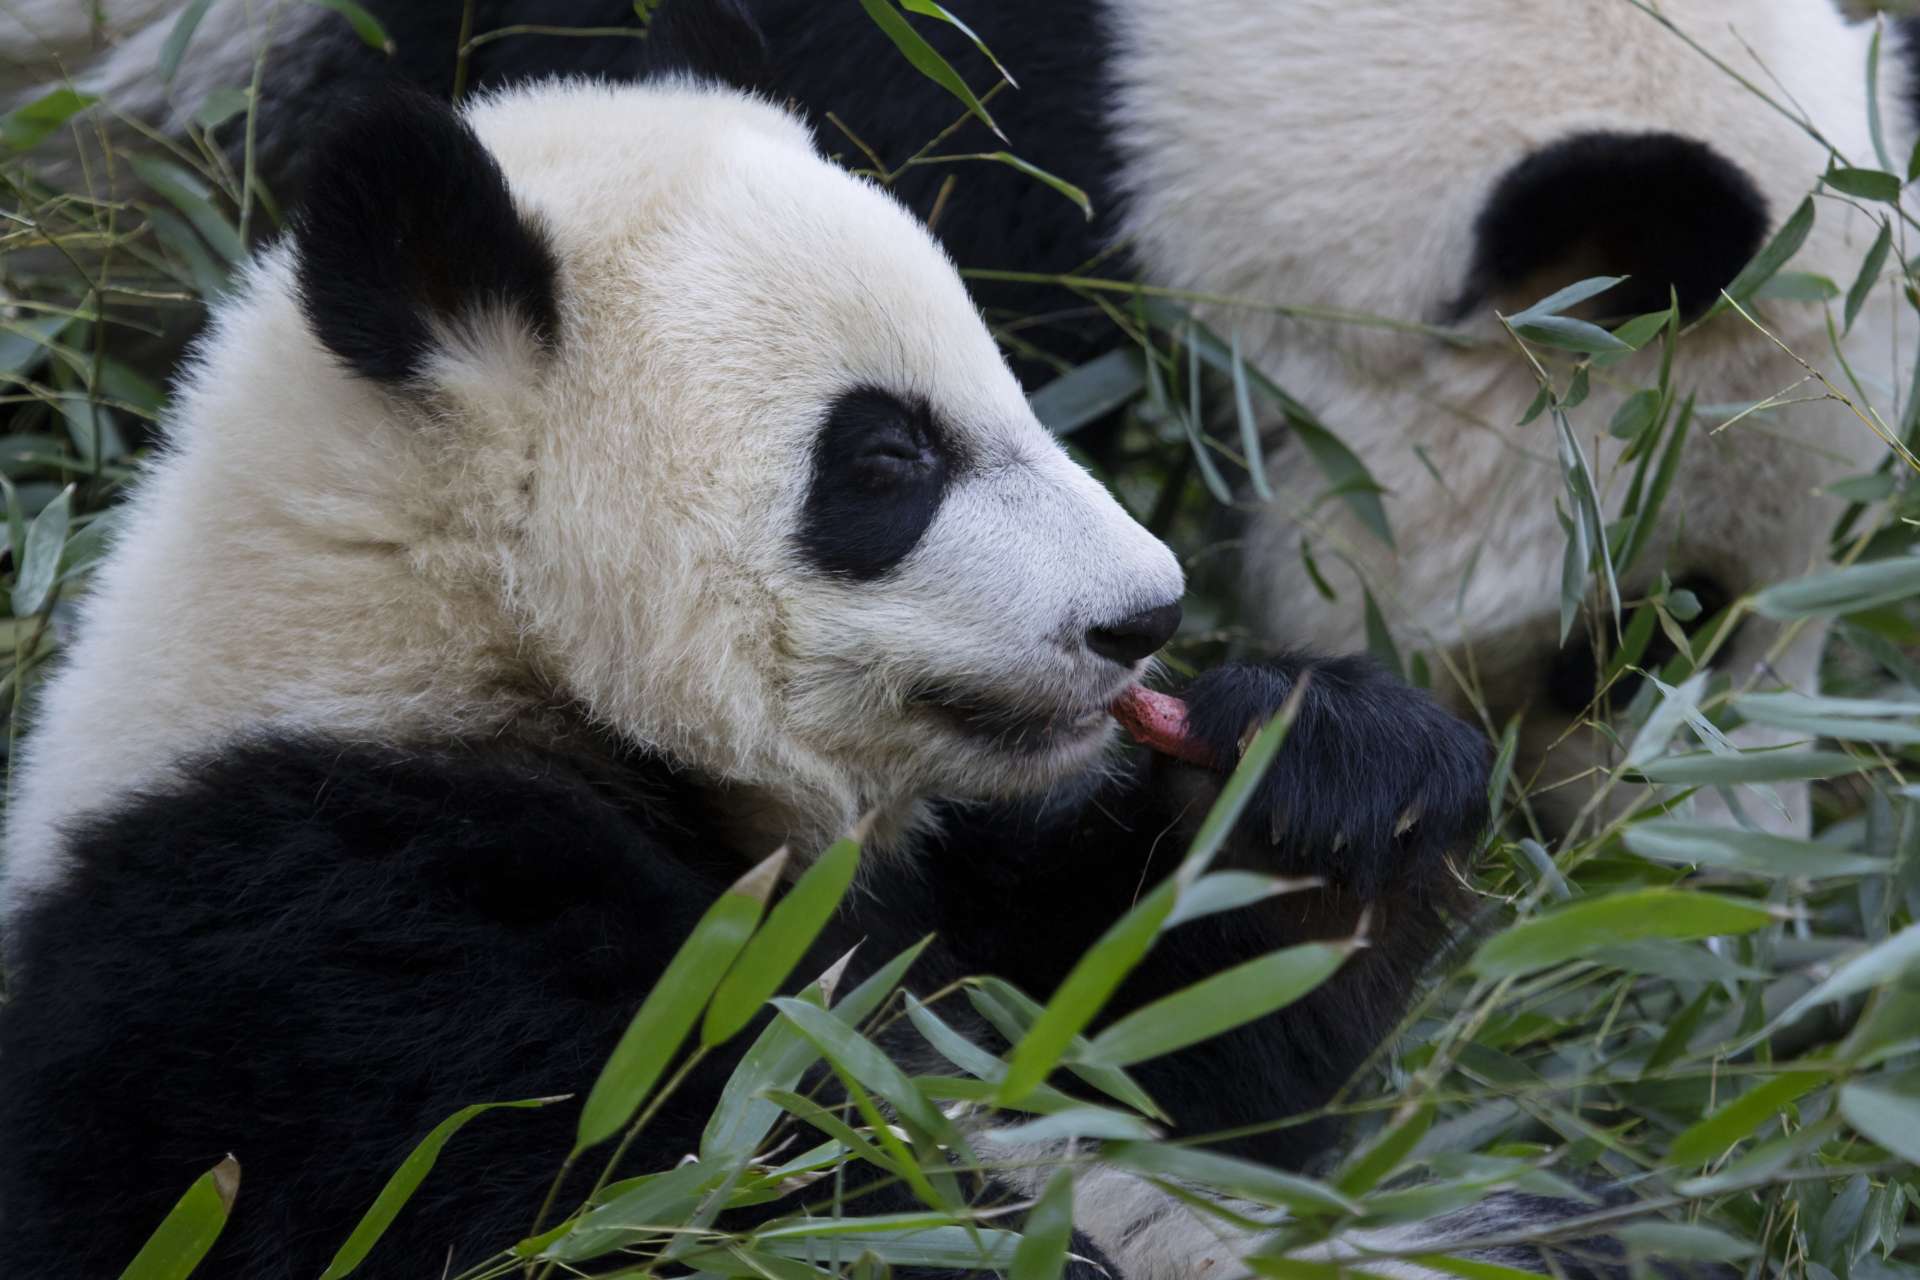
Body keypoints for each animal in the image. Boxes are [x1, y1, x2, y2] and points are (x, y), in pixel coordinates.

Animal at [0, 47, 1520, 1280]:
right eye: (890, 457)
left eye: (1020, 392)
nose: (1142, 617)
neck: (440, 633)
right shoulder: (322, 923)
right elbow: (653, 1189)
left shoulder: (933, 897)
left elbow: (1156, 1053)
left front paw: (1324, 771)